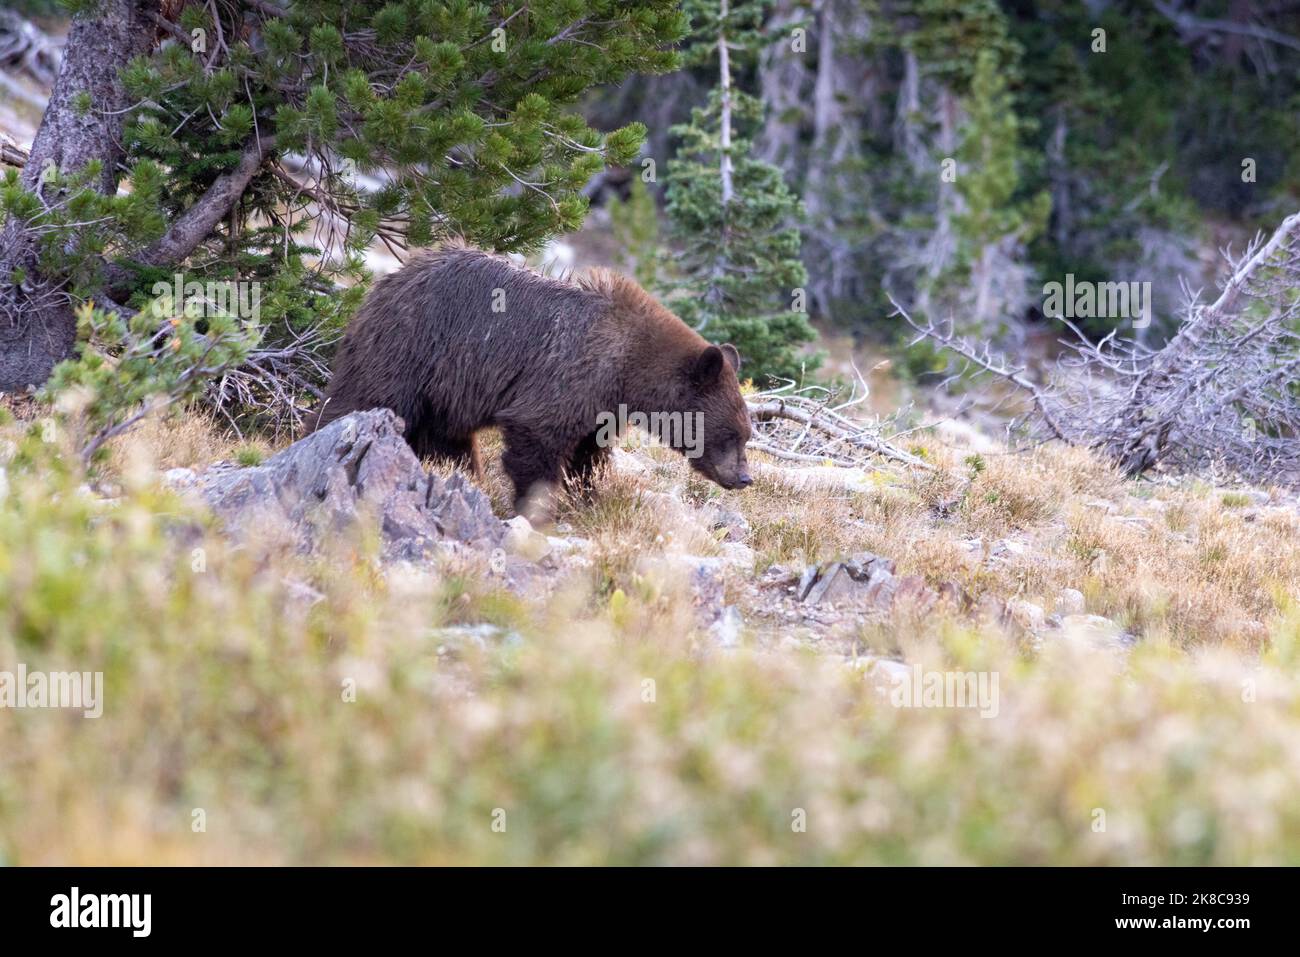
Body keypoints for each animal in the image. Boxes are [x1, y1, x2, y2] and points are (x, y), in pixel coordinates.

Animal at [311, 240, 754, 518]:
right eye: (732, 433)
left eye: (747, 434)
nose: (744, 477)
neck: (628, 370)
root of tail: (386, 279)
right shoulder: (570, 373)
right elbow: (537, 436)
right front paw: (538, 507)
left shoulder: (599, 408)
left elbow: (587, 454)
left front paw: (587, 496)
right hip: (411, 347)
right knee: (367, 396)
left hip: (445, 389)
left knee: (446, 436)